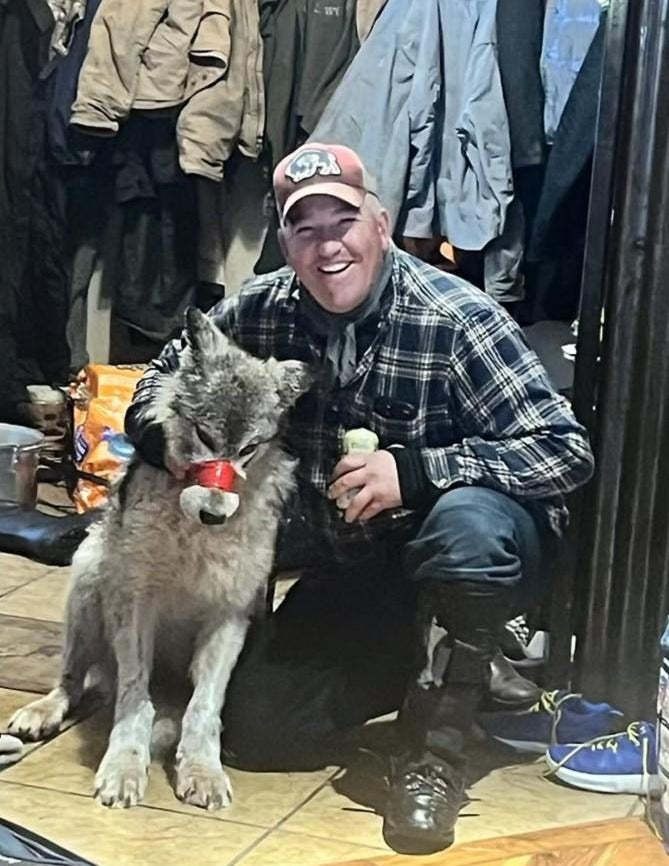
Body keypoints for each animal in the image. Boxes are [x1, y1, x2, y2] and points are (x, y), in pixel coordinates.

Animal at [8, 308, 311, 810]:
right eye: (205, 435)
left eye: (248, 448)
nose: (214, 513)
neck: (194, 536)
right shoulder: (135, 605)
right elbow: (135, 699)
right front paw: (124, 768)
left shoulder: (229, 616)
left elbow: (205, 707)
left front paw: (203, 771)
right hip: (89, 580)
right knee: (74, 679)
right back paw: (42, 712)